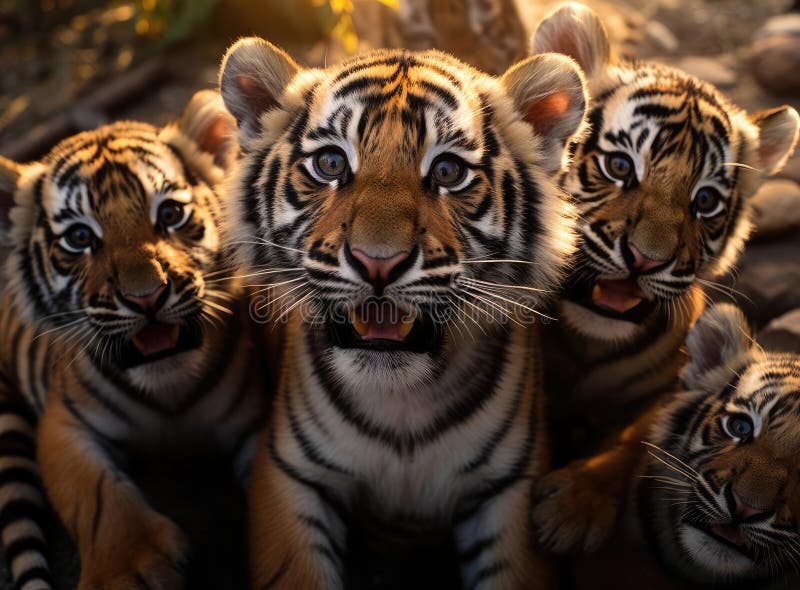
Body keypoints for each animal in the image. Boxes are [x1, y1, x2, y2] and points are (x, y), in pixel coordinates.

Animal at [0, 90, 266, 590]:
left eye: (170, 214)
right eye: (79, 237)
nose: (147, 298)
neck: (170, 392)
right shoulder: (63, 425)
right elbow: (96, 498)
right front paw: (131, 568)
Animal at [218, 37, 588, 589]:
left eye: (448, 171)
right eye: (331, 163)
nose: (378, 262)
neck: (402, 406)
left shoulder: (512, 487)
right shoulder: (288, 472)